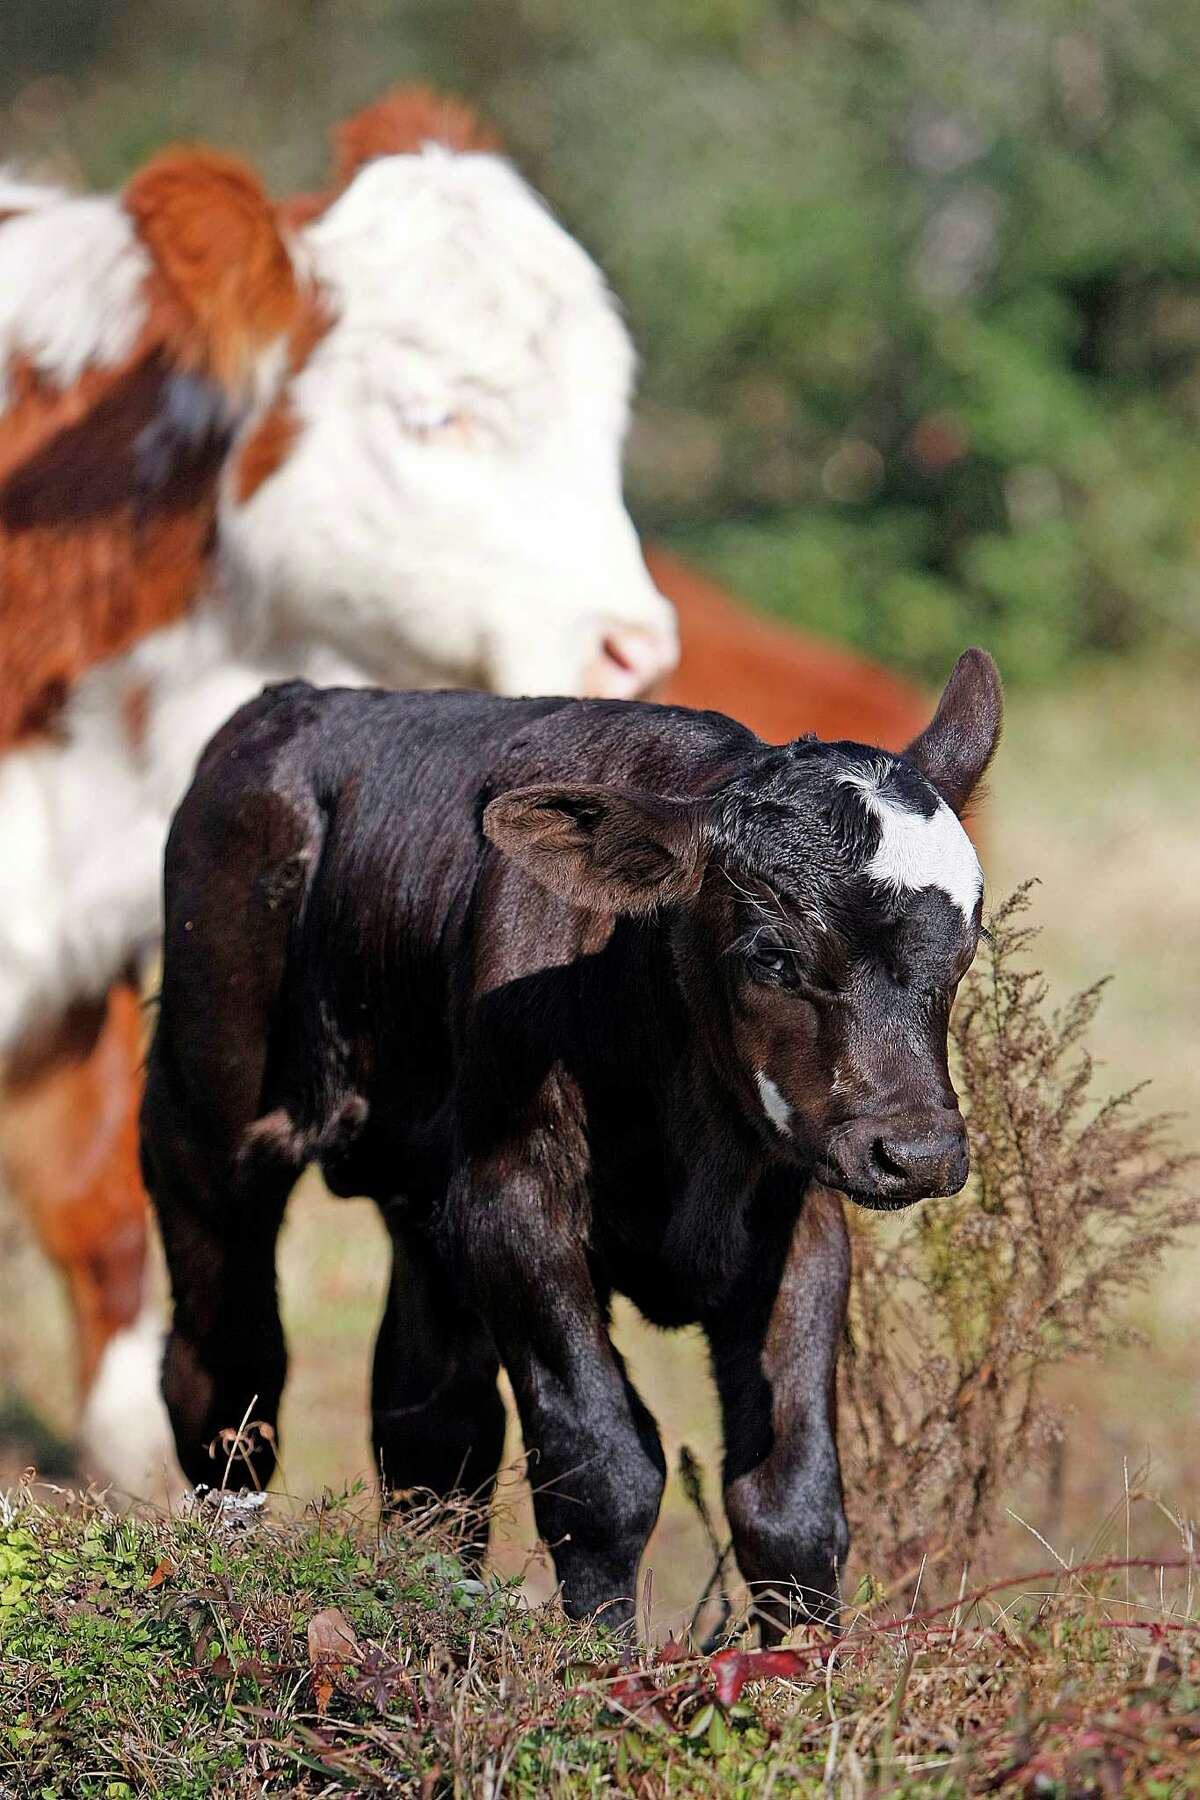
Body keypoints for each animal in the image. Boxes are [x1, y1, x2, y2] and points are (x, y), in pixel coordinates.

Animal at [141, 648, 1001, 1634]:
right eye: (774, 955)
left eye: (965, 946)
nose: (917, 1152)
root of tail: (288, 704)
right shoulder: (512, 1206)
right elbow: (603, 1468)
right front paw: (604, 1656)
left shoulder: (803, 1222)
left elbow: (789, 1502)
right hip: (200, 1126)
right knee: (228, 1381)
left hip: (422, 1197)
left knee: (432, 1426)